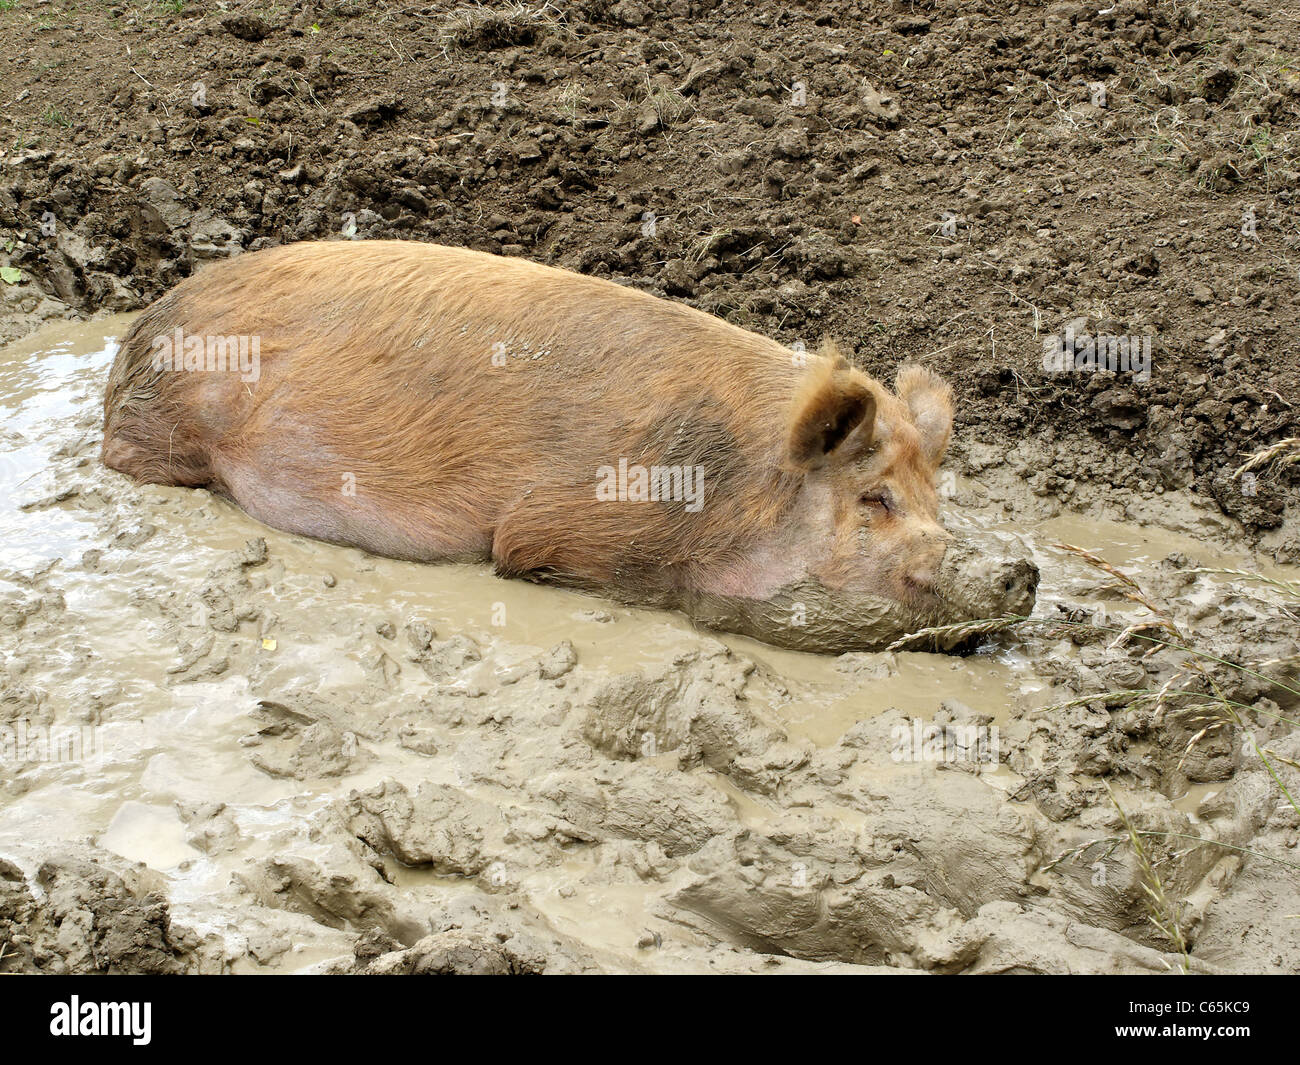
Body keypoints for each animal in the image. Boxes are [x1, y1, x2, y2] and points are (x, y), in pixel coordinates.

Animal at [101, 240, 1037, 653]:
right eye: (874, 498)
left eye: (937, 498)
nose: (1021, 567)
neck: (722, 491)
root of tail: (143, 325)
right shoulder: (554, 529)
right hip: (161, 426)